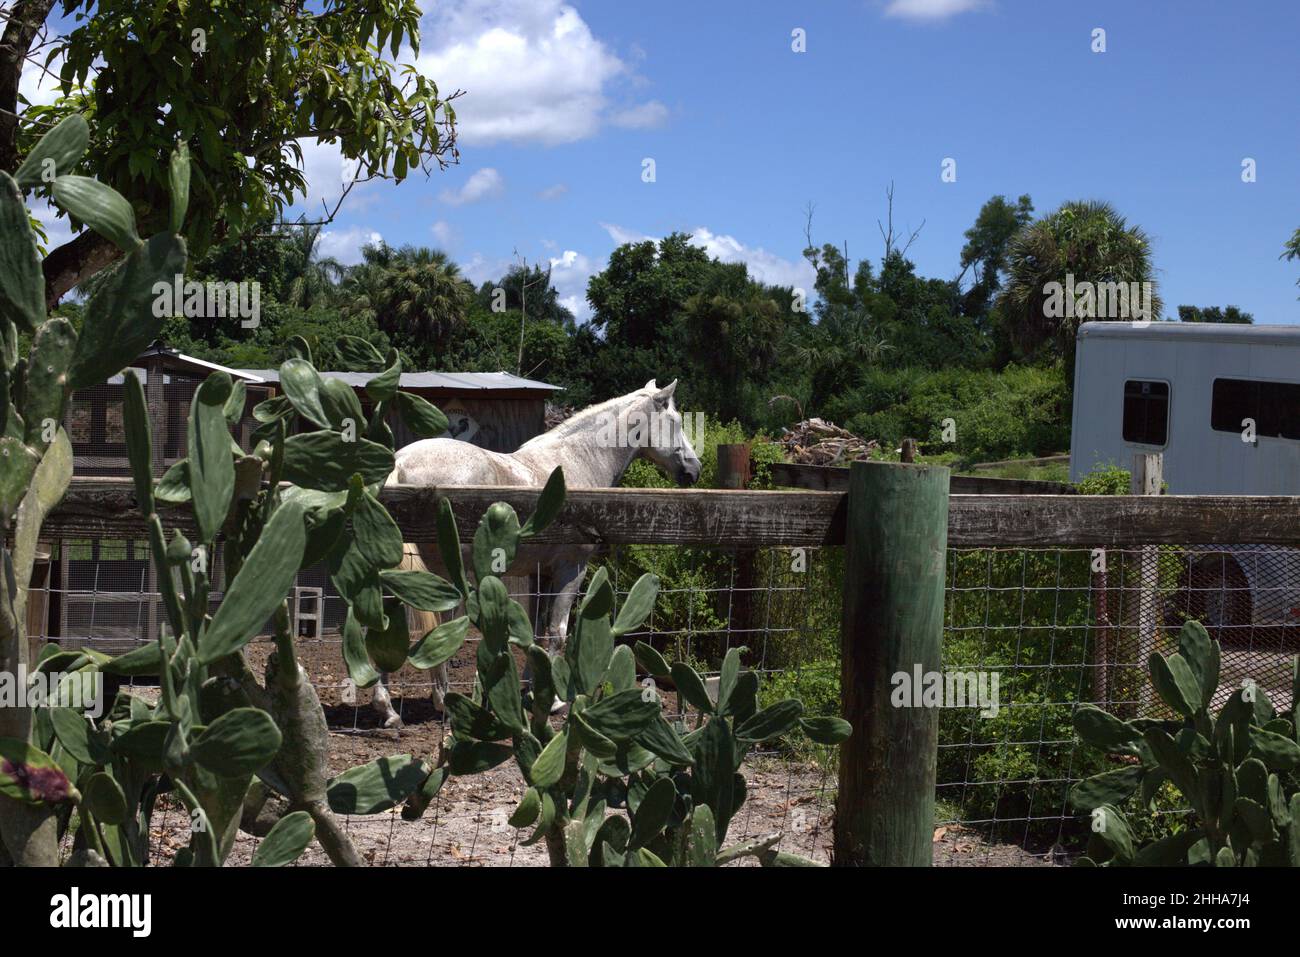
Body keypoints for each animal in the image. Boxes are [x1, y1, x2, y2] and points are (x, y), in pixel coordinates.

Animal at [362, 379, 701, 728]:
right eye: (676, 421)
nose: (694, 470)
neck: (580, 461)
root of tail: (401, 462)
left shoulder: (541, 573)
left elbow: (536, 632)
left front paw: (529, 689)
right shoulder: (571, 569)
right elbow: (557, 632)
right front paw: (554, 701)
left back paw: (389, 710)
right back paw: (440, 700)